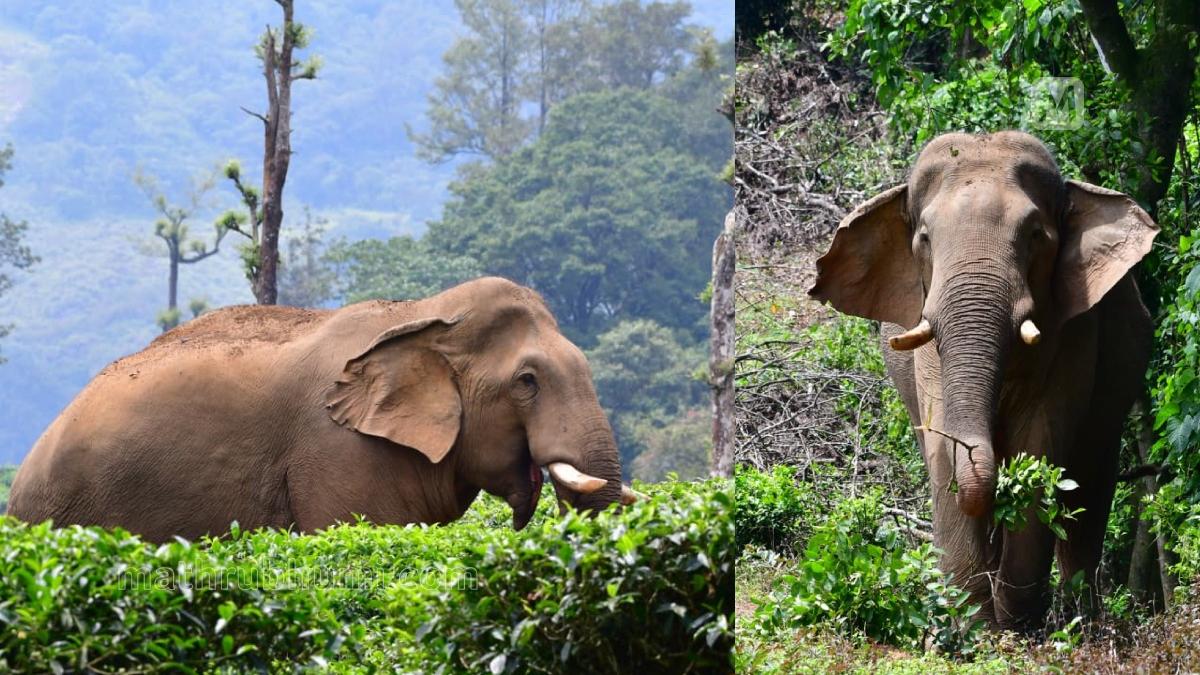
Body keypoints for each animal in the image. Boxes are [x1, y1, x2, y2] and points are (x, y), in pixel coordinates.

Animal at [809, 131, 1158, 630]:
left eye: (1036, 236)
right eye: (924, 239)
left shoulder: (1074, 331)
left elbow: (1040, 445)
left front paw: (1015, 626)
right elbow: (942, 450)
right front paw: (975, 625)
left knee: (1089, 488)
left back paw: (1082, 618)